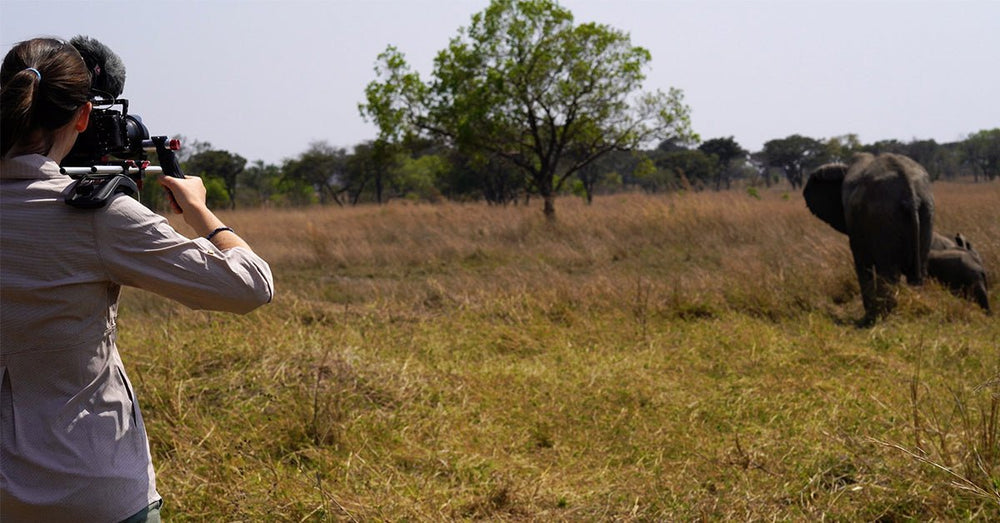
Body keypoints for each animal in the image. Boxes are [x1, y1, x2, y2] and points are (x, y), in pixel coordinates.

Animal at [804, 152, 934, 323]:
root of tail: (910, 192)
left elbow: (862, 264)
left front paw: (868, 317)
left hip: (882, 216)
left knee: (888, 272)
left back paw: (881, 316)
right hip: (925, 211)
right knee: (918, 271)